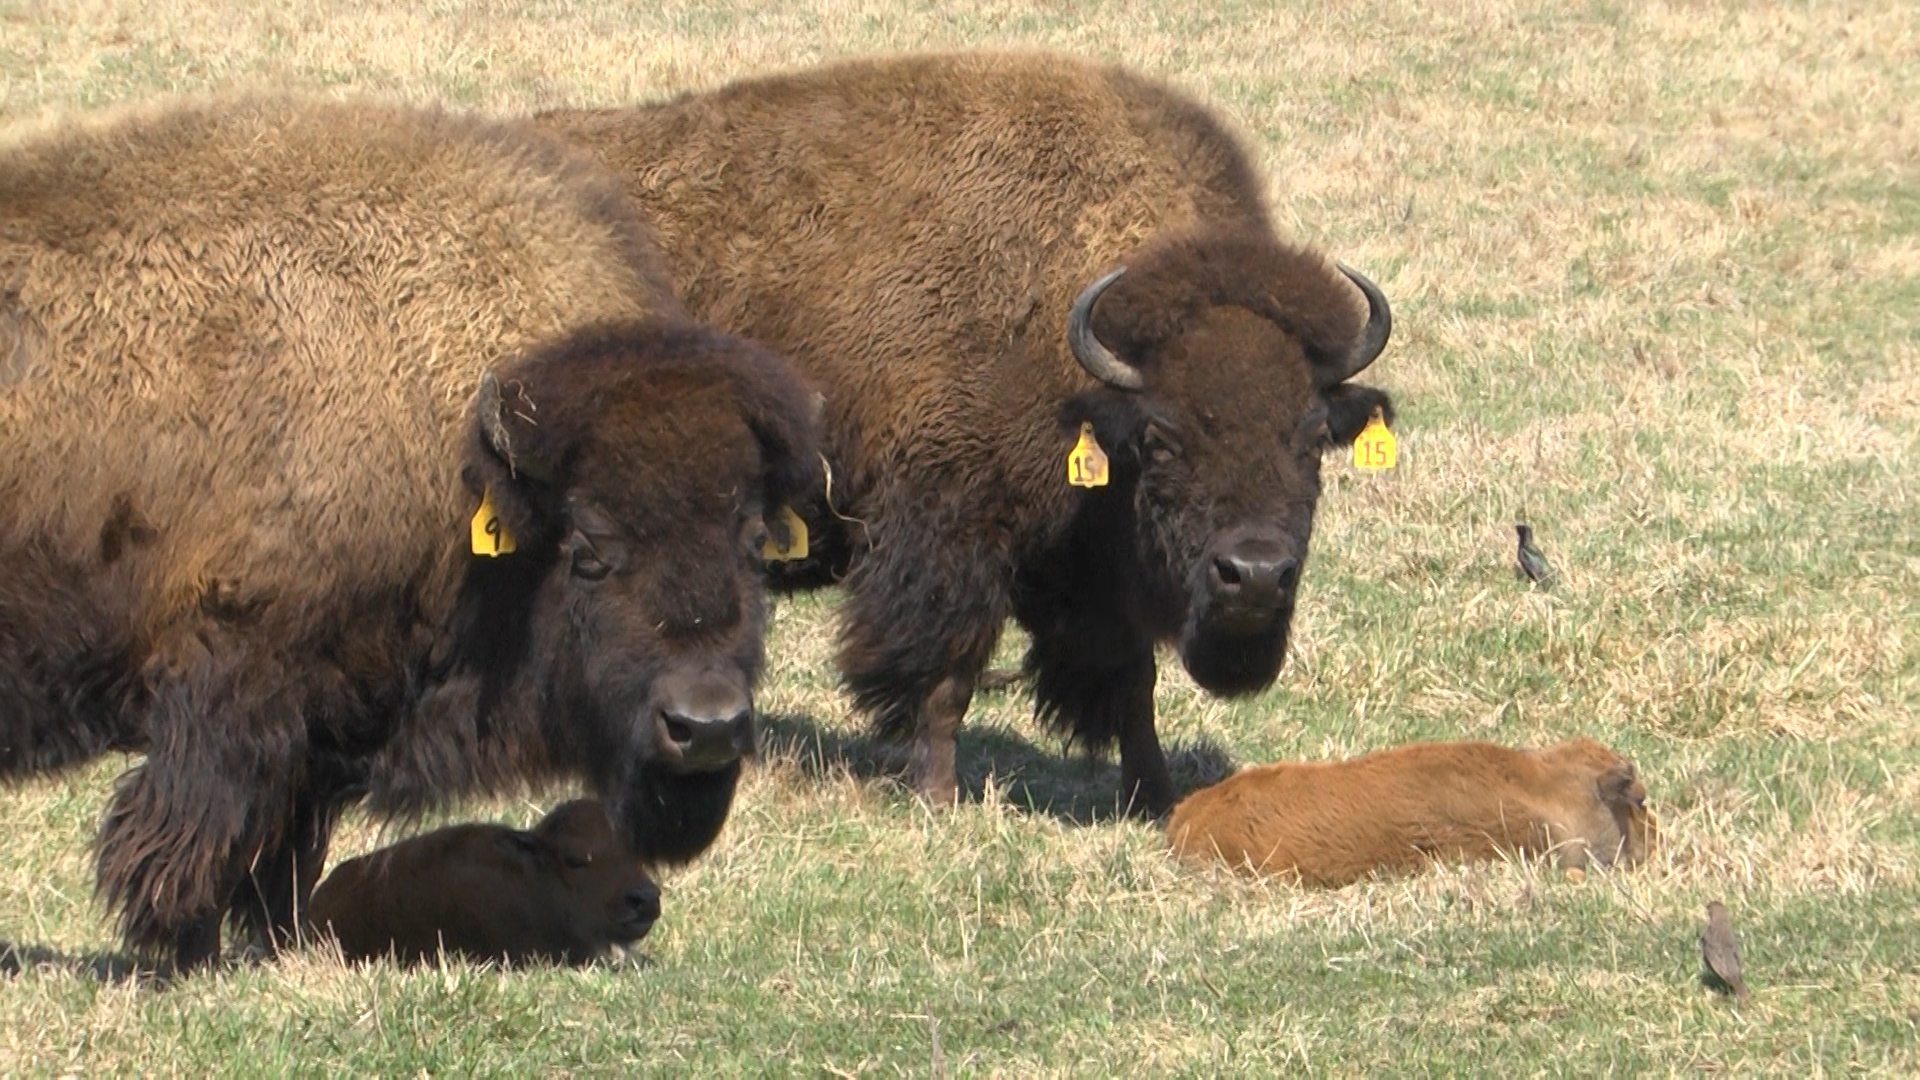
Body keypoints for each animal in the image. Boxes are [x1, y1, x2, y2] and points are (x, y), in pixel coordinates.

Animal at [539, 51, 1395, 815]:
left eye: (1313, 437)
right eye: (1161, 438)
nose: (1254, 577)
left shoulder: (1093, 575)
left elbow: (1133, 686)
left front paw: (1155, 797)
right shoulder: (950, 537)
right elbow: (945, 679)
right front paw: (938, 798)